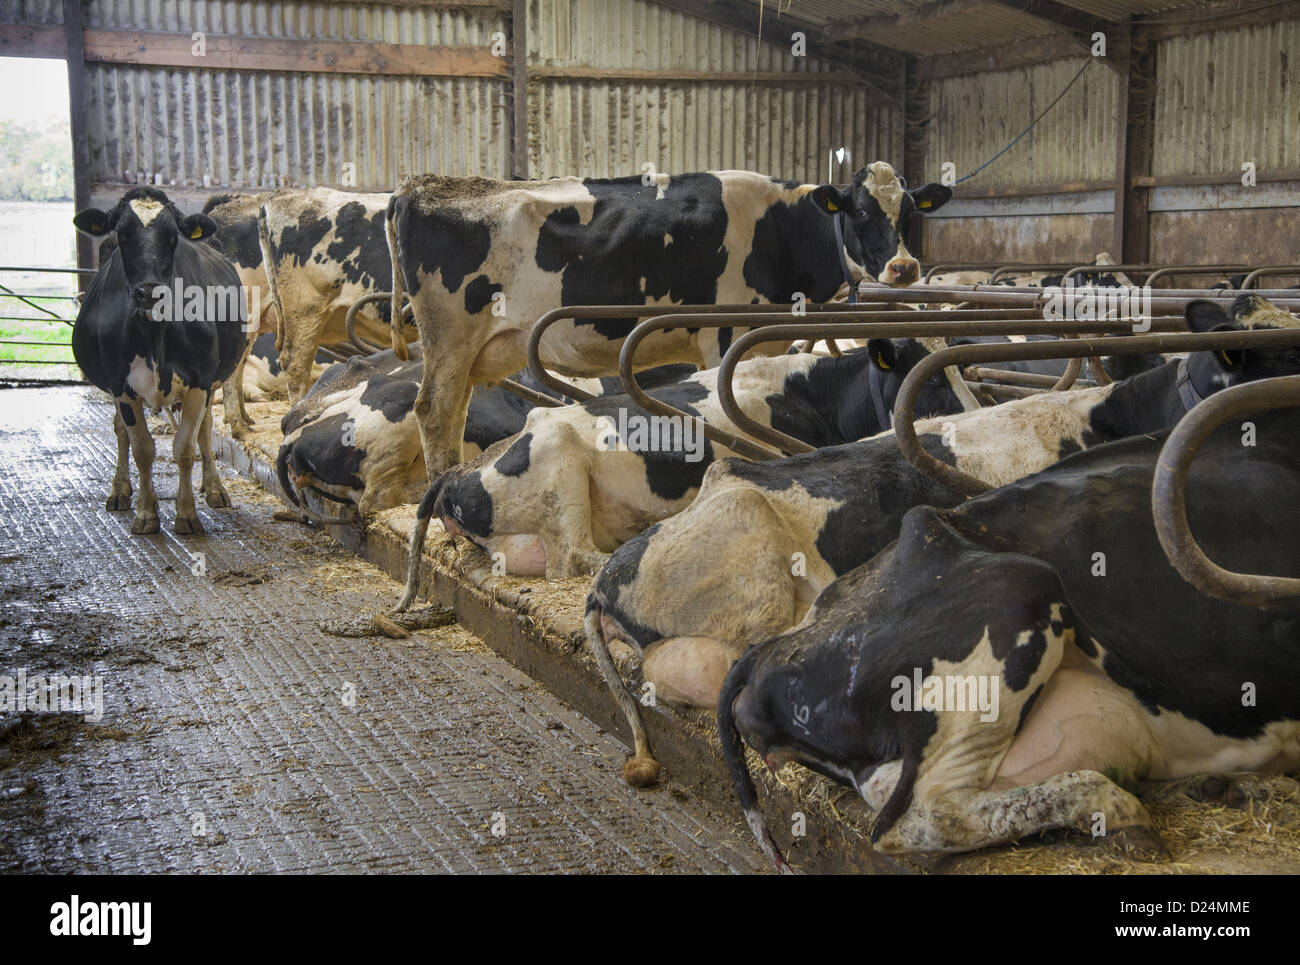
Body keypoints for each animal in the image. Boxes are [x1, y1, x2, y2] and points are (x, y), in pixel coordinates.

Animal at [71, 187, 246, 534]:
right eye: (122, 233)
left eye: (172, 236)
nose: (150, 292)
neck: (154, 335)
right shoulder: (121, 386)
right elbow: (142, 449)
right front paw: (146, 513)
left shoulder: (200, 384)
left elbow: (185, 448)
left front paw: (187, 514)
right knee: (120, 433)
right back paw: (120, 492)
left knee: (205, 430)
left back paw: (214, 487)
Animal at [386, 162, 953, 480]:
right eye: (860, 212)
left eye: (908, 212)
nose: (904, 267)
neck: (783, 228)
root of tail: (420, 187)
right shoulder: (727, 334)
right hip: (450, 336)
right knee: (433, 410)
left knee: (453, 412)